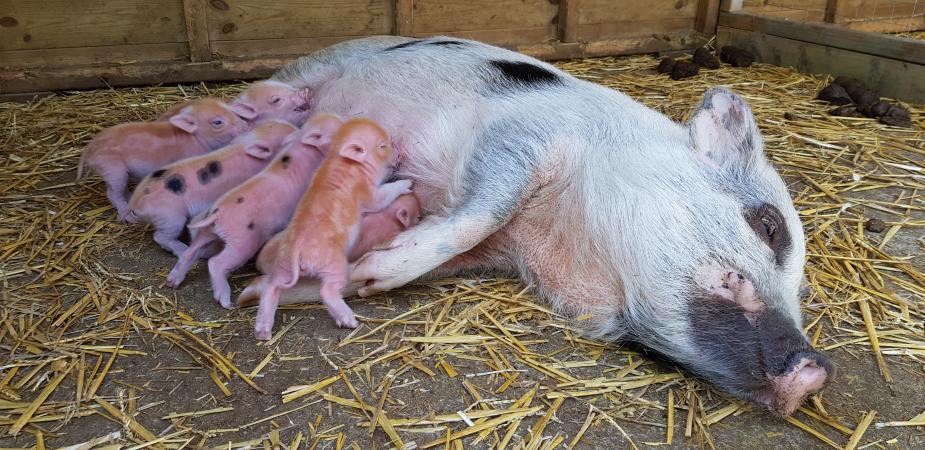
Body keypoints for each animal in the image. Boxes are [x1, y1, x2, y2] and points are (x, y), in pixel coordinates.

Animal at [77, 99, 250, 220]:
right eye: (217, 122)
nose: (245, 126)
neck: (194, 138)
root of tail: (89, 148)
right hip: (112, 169)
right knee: (113, 194)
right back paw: (128, 216)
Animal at [165, 113, 345, 307]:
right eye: (337, 130)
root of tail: (217, 214)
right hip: (241, 243)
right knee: (215, 263)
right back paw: (226, 301)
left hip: (206, 232)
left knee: (190, 252)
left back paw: (172, 281)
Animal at [253, 119, 412, 339]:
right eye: (382, 145)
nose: (400, 153)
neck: (344, 160)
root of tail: (297, 250)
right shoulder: (369, 193)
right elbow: (382, 197)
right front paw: (408, 183)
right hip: (334, 264)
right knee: (326, 291)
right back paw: (350, 321)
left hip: (282, 265)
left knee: (271, 287)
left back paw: (263, 331)